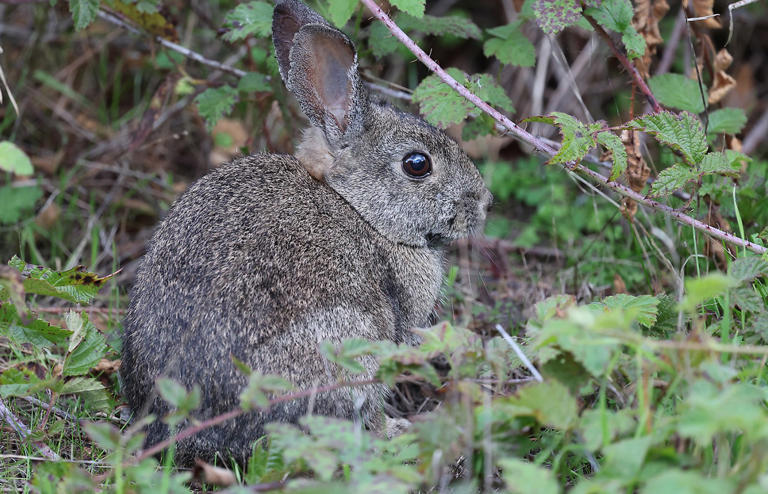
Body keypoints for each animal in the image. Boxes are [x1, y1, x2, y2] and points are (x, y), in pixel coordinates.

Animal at [120, 0, 492, 465]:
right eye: (417, 165)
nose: (484, 203)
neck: (359, 210)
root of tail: (185, 422)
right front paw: (396, 430)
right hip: (343, 347)